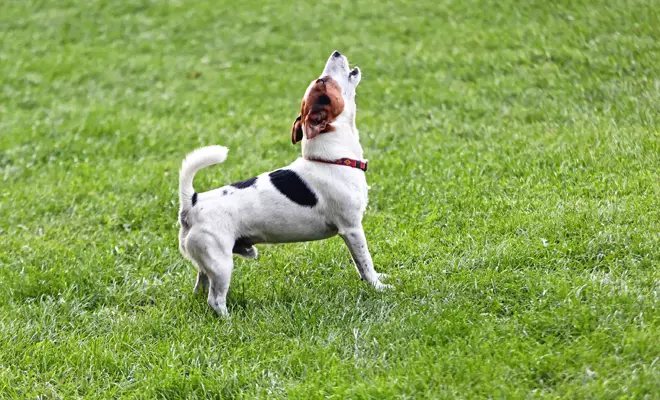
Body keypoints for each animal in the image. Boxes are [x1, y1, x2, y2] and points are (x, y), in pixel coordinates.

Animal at [177, 50, 392, 316]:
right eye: (323, 82)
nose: (336, 52)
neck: (331, 158)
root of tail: (192, 202)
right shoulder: (351, 228)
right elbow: (364, 263)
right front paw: (378, 286)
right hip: (221, 263)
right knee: (215, 300)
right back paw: (228, 320)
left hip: (206, 261)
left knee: (200, 285)